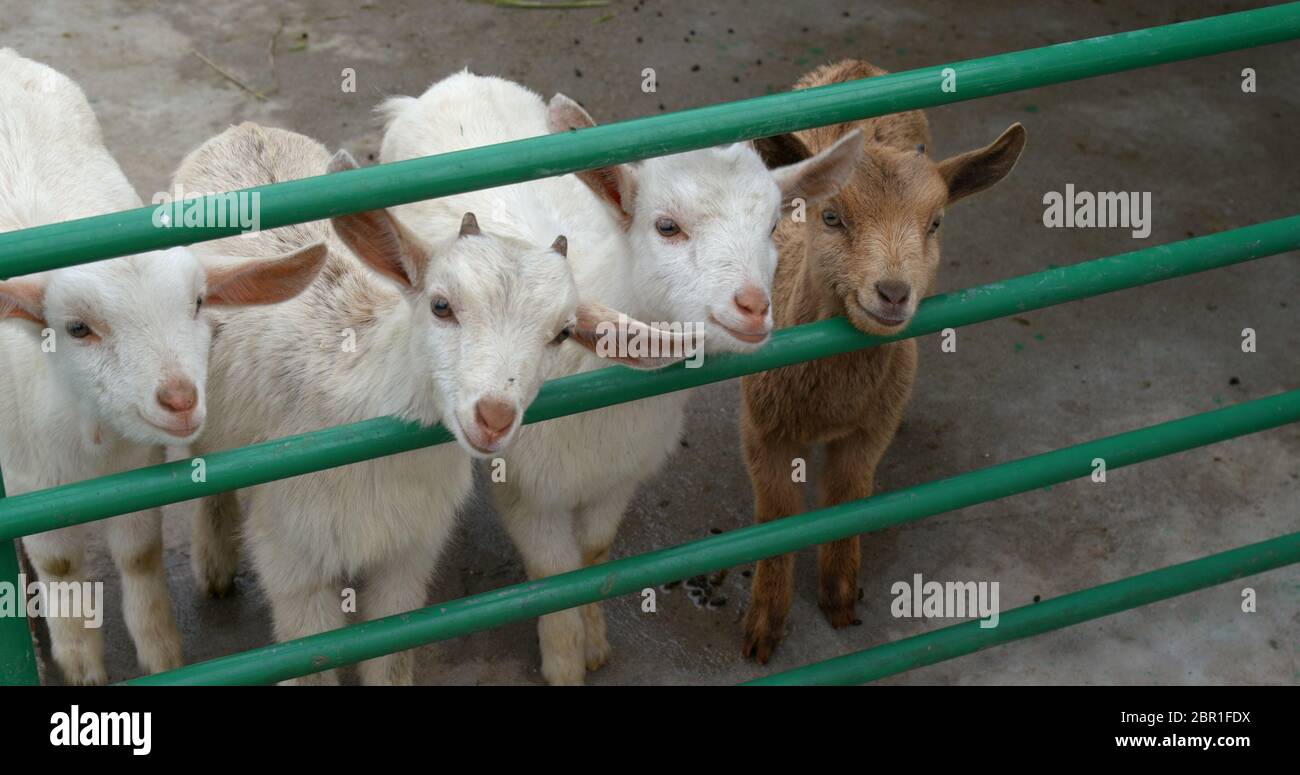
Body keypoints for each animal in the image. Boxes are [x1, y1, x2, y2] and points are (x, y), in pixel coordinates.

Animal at [0, 50, 327, 684]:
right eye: (78, 328)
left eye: (198, 303)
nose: (179, 398)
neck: (88, 439)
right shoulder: (28, 481)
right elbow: (60, 566)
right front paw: (80, 665)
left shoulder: (137, 468)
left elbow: (138, 554)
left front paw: (160, 654)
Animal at [176, 122, 683, 685]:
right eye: (441, 305)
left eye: (562, 333)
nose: (494, 416)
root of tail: (246, 129)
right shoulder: (291, 557)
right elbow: (310, 661)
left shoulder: (410, 552)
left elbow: (391, 659)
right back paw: (214, 565)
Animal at [379, 71, 861, 684]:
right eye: (667, 226)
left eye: (774, 226)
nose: (753, 307)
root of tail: (459, 80)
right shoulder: (526, 487)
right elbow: (554, 573)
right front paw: (564, 661)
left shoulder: (619, 477)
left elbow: (593, 554)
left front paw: (595, 642)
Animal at [740, 59, 1027, 662]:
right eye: (830, 217)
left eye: (936, 222)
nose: (893, 293)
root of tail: (858, 67)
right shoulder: (763, 431)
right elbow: (777, 517)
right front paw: (764, 626)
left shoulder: (870, 431)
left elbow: (849, 498)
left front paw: (839, 598)